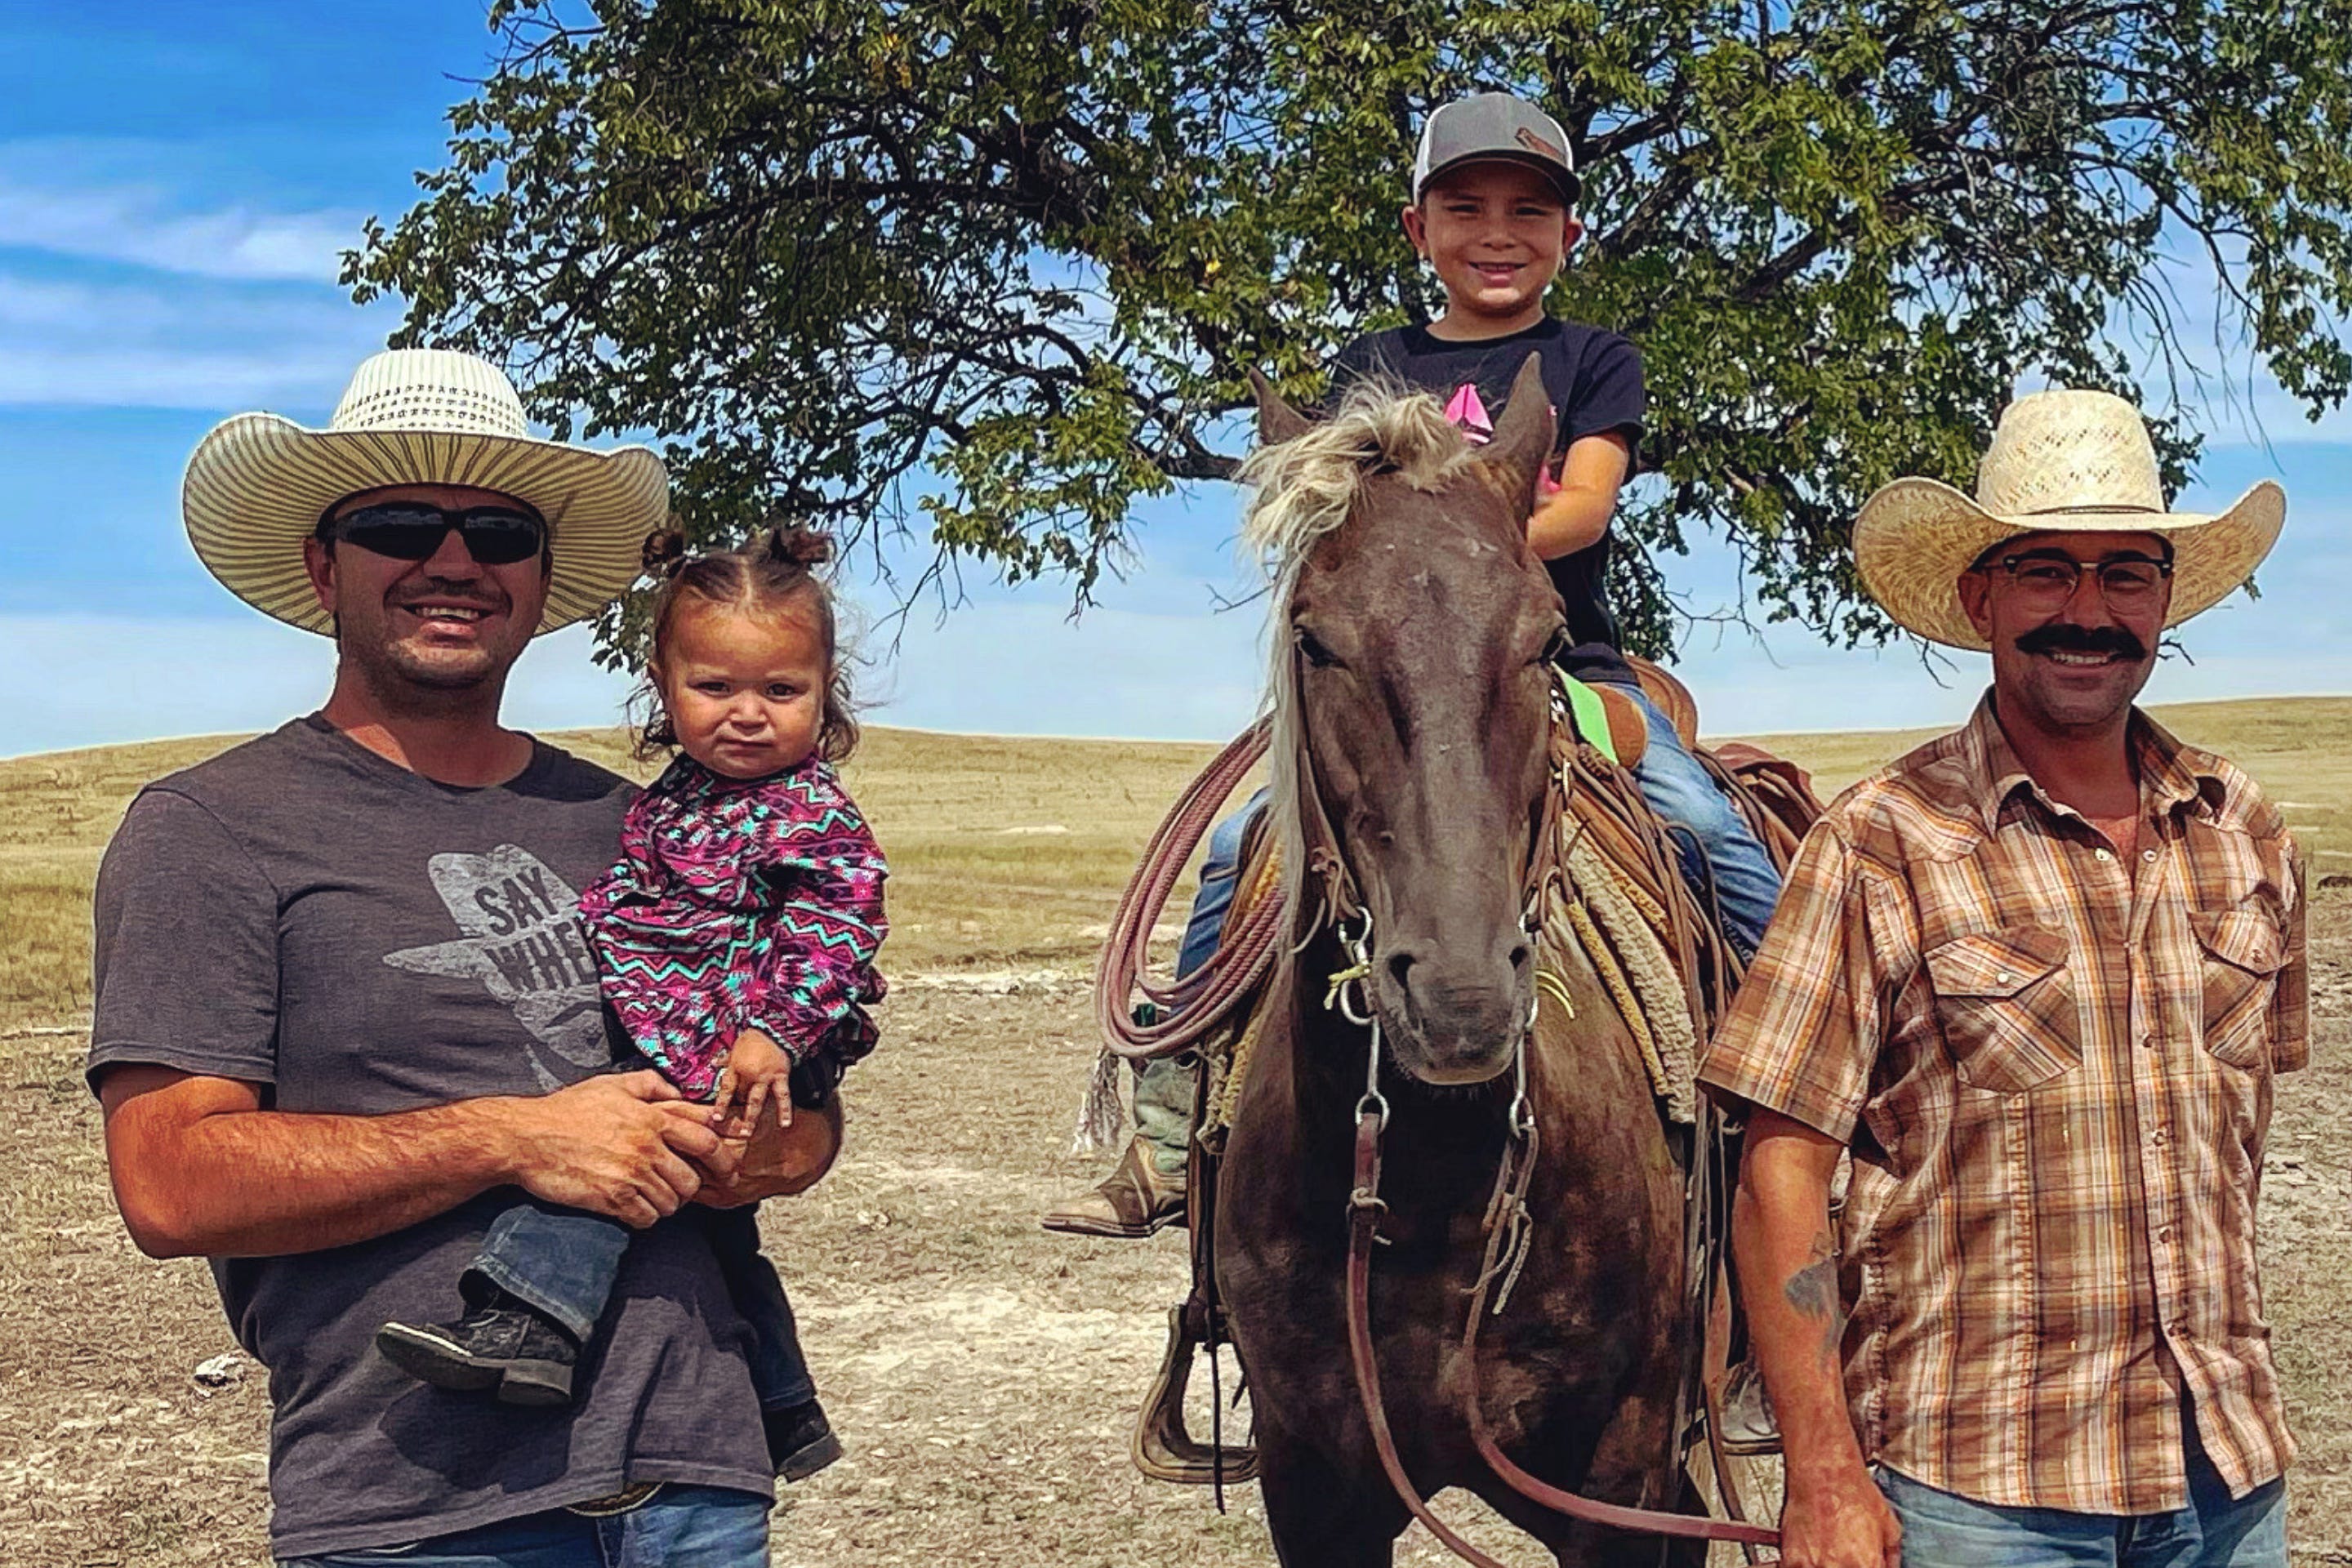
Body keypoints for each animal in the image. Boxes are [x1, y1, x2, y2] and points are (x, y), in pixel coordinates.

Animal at [1215, 356, 1704, 1568]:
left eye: (1543, 640)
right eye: (1314, 639)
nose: (1460, 997)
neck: (1433, 1186)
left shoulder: (1624, 1482)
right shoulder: (1310, 1483)